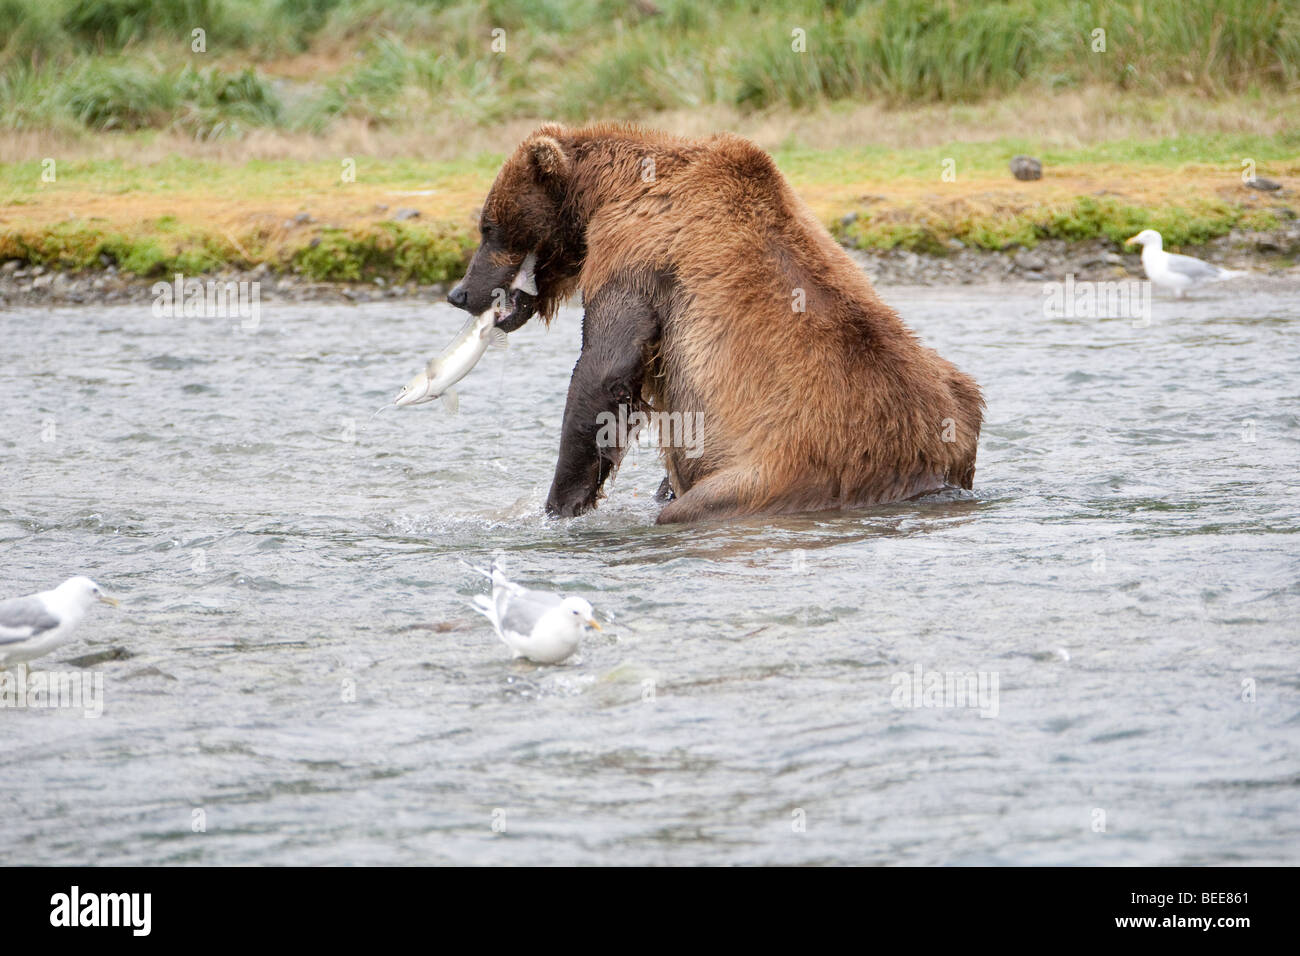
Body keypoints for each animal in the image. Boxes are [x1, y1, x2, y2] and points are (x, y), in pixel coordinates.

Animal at [446, 123, 984, 524]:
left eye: (487, 226)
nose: (459, 293)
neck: (604, 196)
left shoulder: (637, 256)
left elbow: (603, 375)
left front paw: (558, 506)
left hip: (763, 474)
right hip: (955, 397)